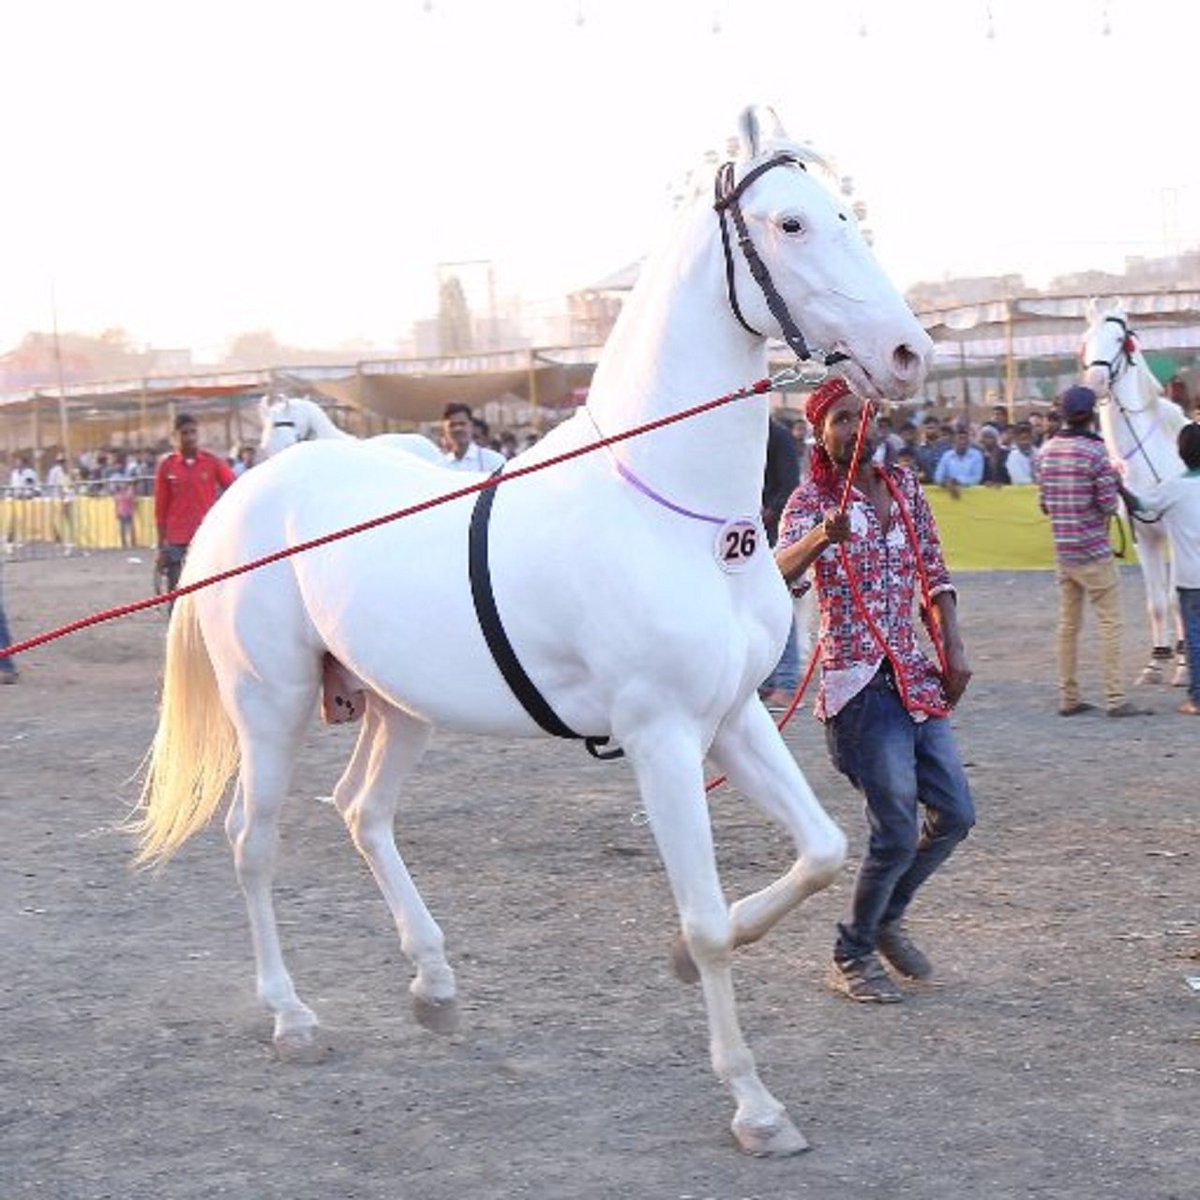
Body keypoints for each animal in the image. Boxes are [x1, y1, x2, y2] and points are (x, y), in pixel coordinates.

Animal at [1081, 298, 1190, 685]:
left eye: (1118, 339)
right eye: (1086, 340)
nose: (1095, 382)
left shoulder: (1176, 532)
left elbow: (1174, 599)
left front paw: (1183, 664)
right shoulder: (1145, 535)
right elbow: (1156, 603)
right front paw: (1156, 662)